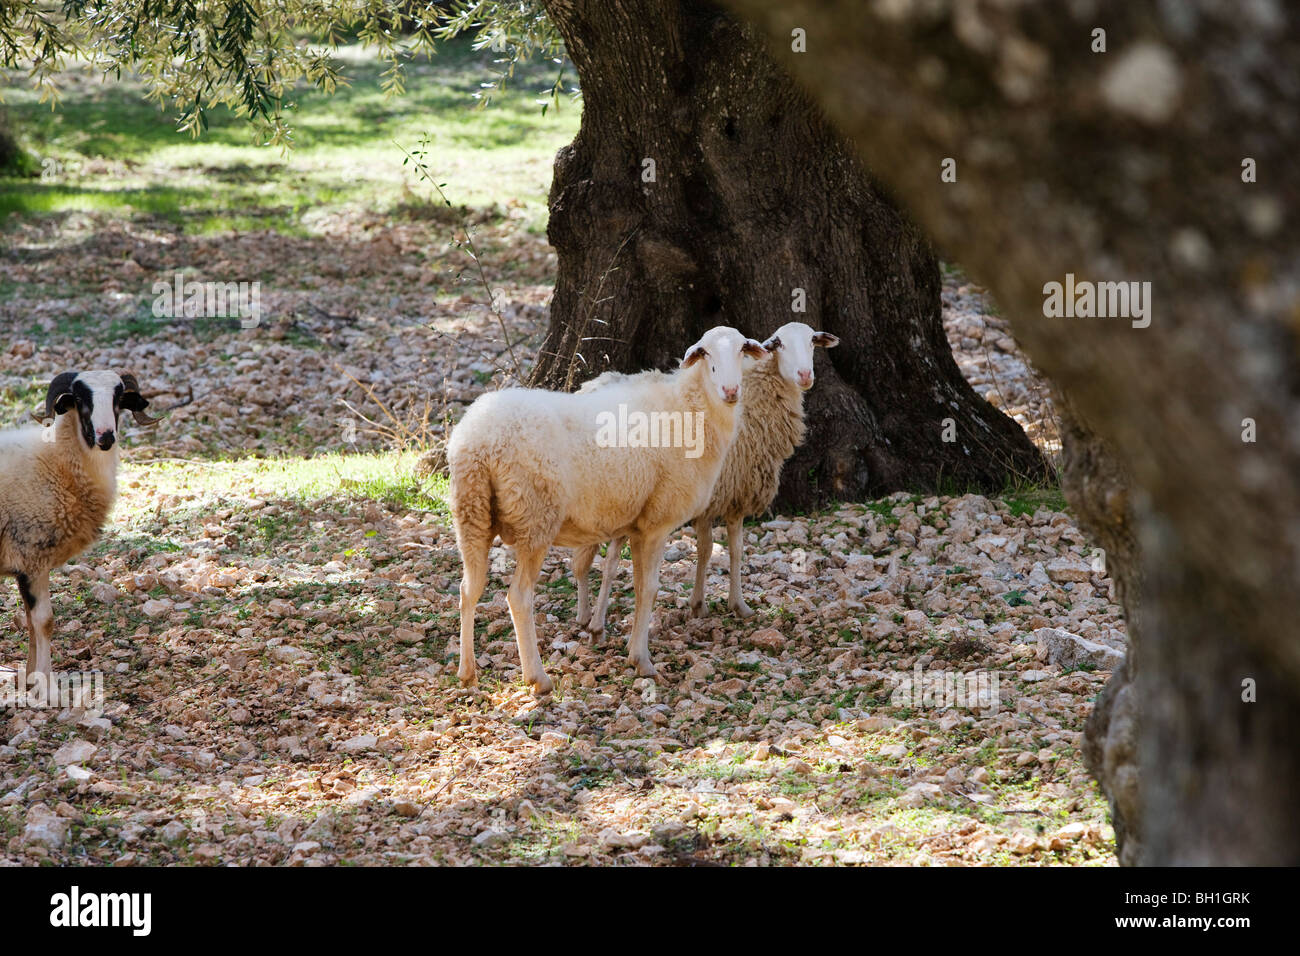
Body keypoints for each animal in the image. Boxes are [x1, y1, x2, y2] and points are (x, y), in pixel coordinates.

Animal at [1, 371, 163, 696]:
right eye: (80, 399)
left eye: (118, 398)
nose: (106, 436)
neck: (56, 461)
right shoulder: (31, 556)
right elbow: (45, 622)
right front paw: (46, 687)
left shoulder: (28, 566)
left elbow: (30, 622)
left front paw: (29, 679)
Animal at [447, 326, 767, 694]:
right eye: (707, 354)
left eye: (743, 349)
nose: (731, 391)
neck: (690, 408)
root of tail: (480, 442)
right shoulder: (657, 522)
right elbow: (649, 589)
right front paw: (641, 659)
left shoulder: (636, 524)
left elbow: (633, 583)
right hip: (535, 519)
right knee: (518, 597)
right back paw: (538, 678)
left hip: (471, 513)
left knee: (469, 589)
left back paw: (467, 671)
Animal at [572, 321, 838, 631]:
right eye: (780, 344)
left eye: (812, 342)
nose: (805, 375)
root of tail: (590, 385)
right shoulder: (724, 493)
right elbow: (718, 549)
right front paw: (722, 603)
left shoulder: (726, 495)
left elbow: (721, 549)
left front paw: (713, 604)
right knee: (597, 557)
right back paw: (588, 617)